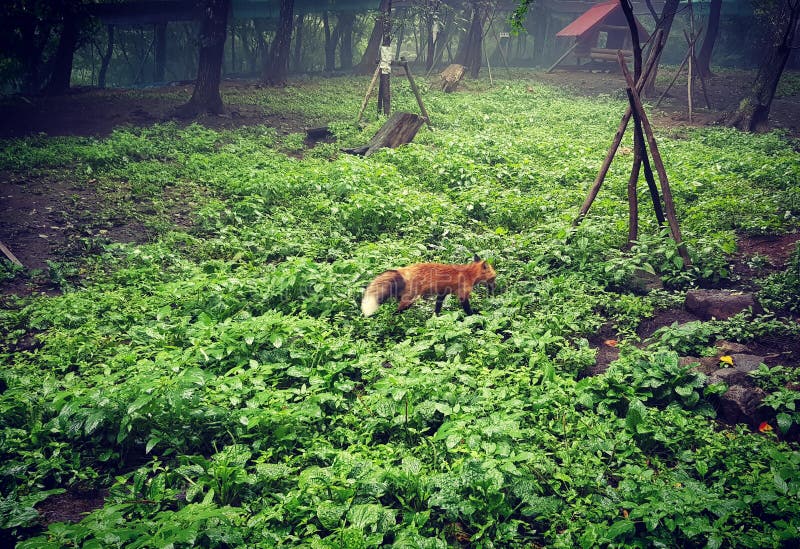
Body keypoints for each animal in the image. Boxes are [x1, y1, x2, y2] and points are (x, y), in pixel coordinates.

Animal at [361, 255, 496, 317]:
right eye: (494, 277)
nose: (495, 287)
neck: (469, 273)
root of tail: (403, 271)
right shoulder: (463, 295)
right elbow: (469, 311)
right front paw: (475, 317)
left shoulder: (442, 293)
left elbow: (437, 307)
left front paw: (435, 317)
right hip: (409, 300)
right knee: (396, 311)